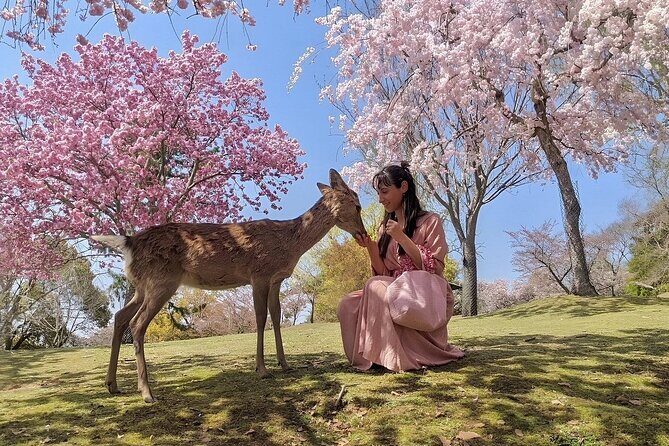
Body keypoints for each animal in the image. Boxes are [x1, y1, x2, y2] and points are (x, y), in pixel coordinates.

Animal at [92, 169, 367, 403]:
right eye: (358, 205)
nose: (363, 234)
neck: (289, 244)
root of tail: (129, 243)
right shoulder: (259, 273)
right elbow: (260, 317)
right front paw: (262, 369)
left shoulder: (276, 279)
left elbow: (276, 317)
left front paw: (285, 364)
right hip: (162, 280)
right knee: (137, 324)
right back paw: (147, 392)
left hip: (142, 286)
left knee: (120, 317)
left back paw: (112, 385)